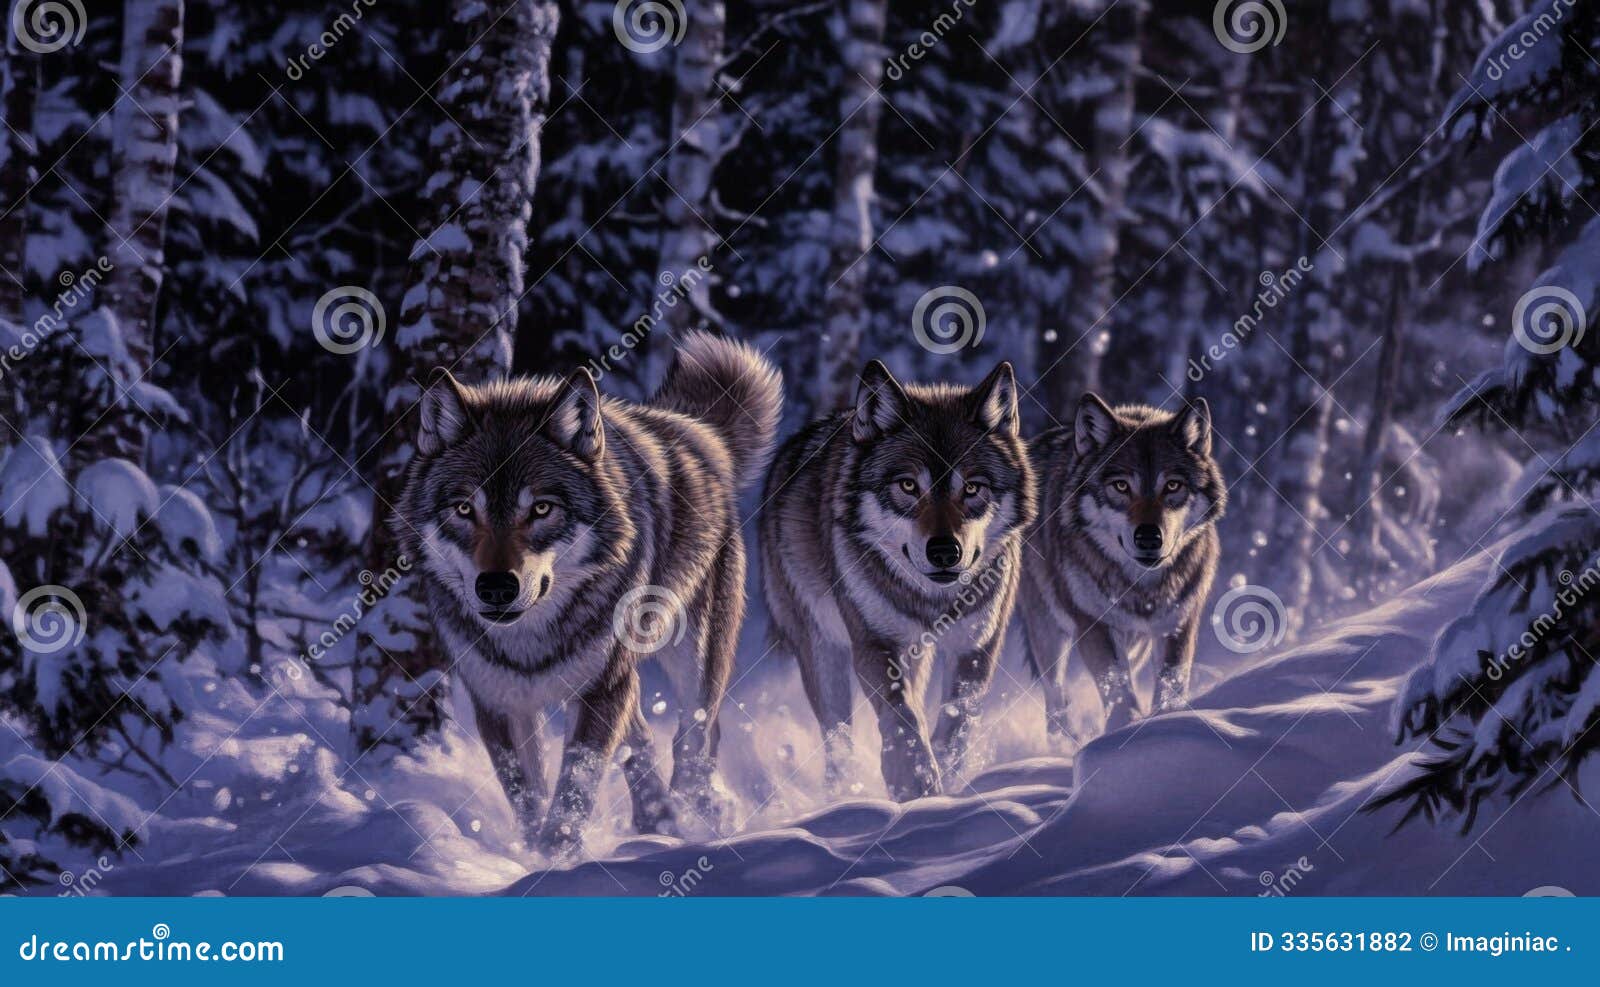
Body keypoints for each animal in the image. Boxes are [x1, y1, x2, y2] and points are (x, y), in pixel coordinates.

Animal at [393, 331, 782, 858]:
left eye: (541, 509)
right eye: (464, 509)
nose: (496, 586)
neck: (529, 643)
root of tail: (690, 427)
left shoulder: (600, 690)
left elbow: (575, 785)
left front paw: (558, 858)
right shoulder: (499, 703)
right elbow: (528, 797)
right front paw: (532, 858)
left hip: (690, 660)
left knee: (696, 736)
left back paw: (693, 816)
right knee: (642, 738)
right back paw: (656, 820)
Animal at [760, 360, 1036, 801]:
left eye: (972, 488)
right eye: (908, 485)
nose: (945, 551)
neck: (932, 601)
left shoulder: (977, 647)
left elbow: (956, 720)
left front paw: (943, 781)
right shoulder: (874, 645)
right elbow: (901, 715)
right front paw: (914, 783)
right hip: (822, 653)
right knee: (837, 737)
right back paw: (841, 793)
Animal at [1019, 394, 1227, 742]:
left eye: (1173, 486)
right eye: (1120, 486)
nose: (1148, 537)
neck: (1142, 587)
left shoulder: (1179, 622)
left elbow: (1171, 683)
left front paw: (1166, 722)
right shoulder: (1092, 622)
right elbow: (1115, 684)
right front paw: (1123, 730)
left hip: (1137, 643)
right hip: (1049, 630)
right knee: (1056, 698)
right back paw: (1064, 742)